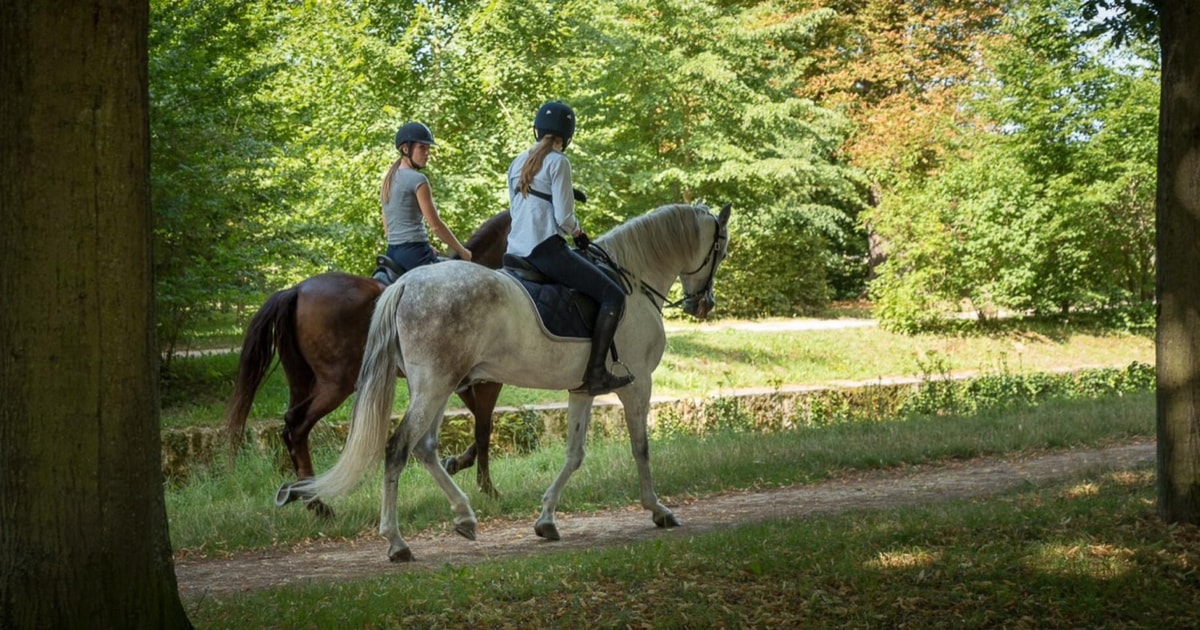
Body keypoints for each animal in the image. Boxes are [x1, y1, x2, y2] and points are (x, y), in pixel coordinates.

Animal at [225, 210, 513, 518]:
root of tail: (296, 289)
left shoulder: (458, 382)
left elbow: (480, 424)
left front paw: (458, 463)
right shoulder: (488, 382)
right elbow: (483, 428)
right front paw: (488, 487)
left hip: (302, 380)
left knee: (291, 429)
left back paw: (309, 499)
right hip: (337, 384)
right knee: (296, 426)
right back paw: (317, 504)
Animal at [277, 202, 731, 561]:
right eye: (721, 249)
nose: (703, 304)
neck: (632, 281)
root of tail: (406, 283)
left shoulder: (583, 388)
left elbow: (573, 454)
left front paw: (546, 520)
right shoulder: (637, 386)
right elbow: (641, 448)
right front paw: (658, 509)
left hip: (439, 385)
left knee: (423, 447)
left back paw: (463, 516)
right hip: (423, 386)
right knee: (395, 447)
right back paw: (395, 541)